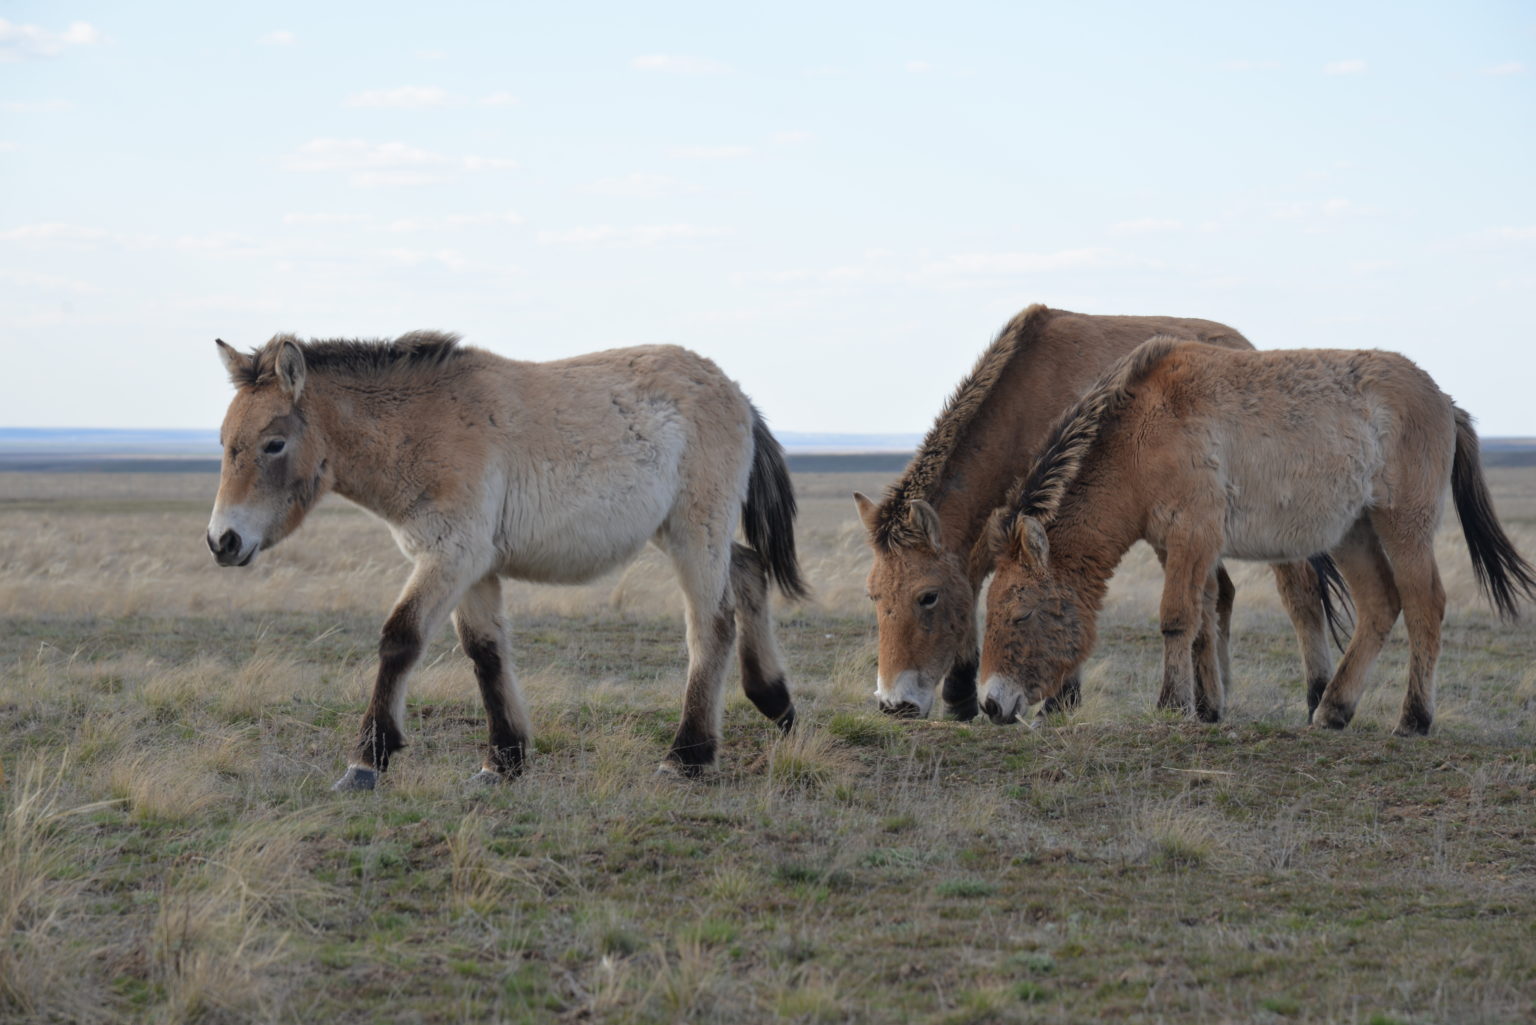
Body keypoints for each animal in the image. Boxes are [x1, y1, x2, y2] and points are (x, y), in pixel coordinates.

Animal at [207, 332, 807, 789]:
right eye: (223, 441)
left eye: (274, 444)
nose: (222, 541)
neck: (422, 425)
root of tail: (734, 392)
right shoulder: (473, 568)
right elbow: (486, 653)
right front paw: (504, 759)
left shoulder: (451, 557)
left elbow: (400, 639)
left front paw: (366, 761)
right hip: (685, 534)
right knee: (750, 573)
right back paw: (775, 703)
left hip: (694, 533)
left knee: (712, 626)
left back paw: (688, 756)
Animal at [854, 304, 1340, 723]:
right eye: (874, 596)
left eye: (927, 597)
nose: (894, 704)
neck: (1026, 399)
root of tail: (1247, 347)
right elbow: (979, 581)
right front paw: (961, 697)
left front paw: (1056, 701)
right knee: (1219, 596)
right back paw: (1209, 703)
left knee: (1300, 594)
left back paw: (1317, 695)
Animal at [977, 337, 1536, 735]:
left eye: (1021, 613)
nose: (990, 703)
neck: (1143, 429)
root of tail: (1444, 399)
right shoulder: (1180, 546)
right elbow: (1204, 619)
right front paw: (1206, 708)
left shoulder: (1193, 535)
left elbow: (1177, 619)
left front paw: (1170, 705)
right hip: (1353, 533)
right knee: (1381, 606)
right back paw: (1333, 710)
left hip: (1404, 526)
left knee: (1425, 606)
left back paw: (1413, 720)